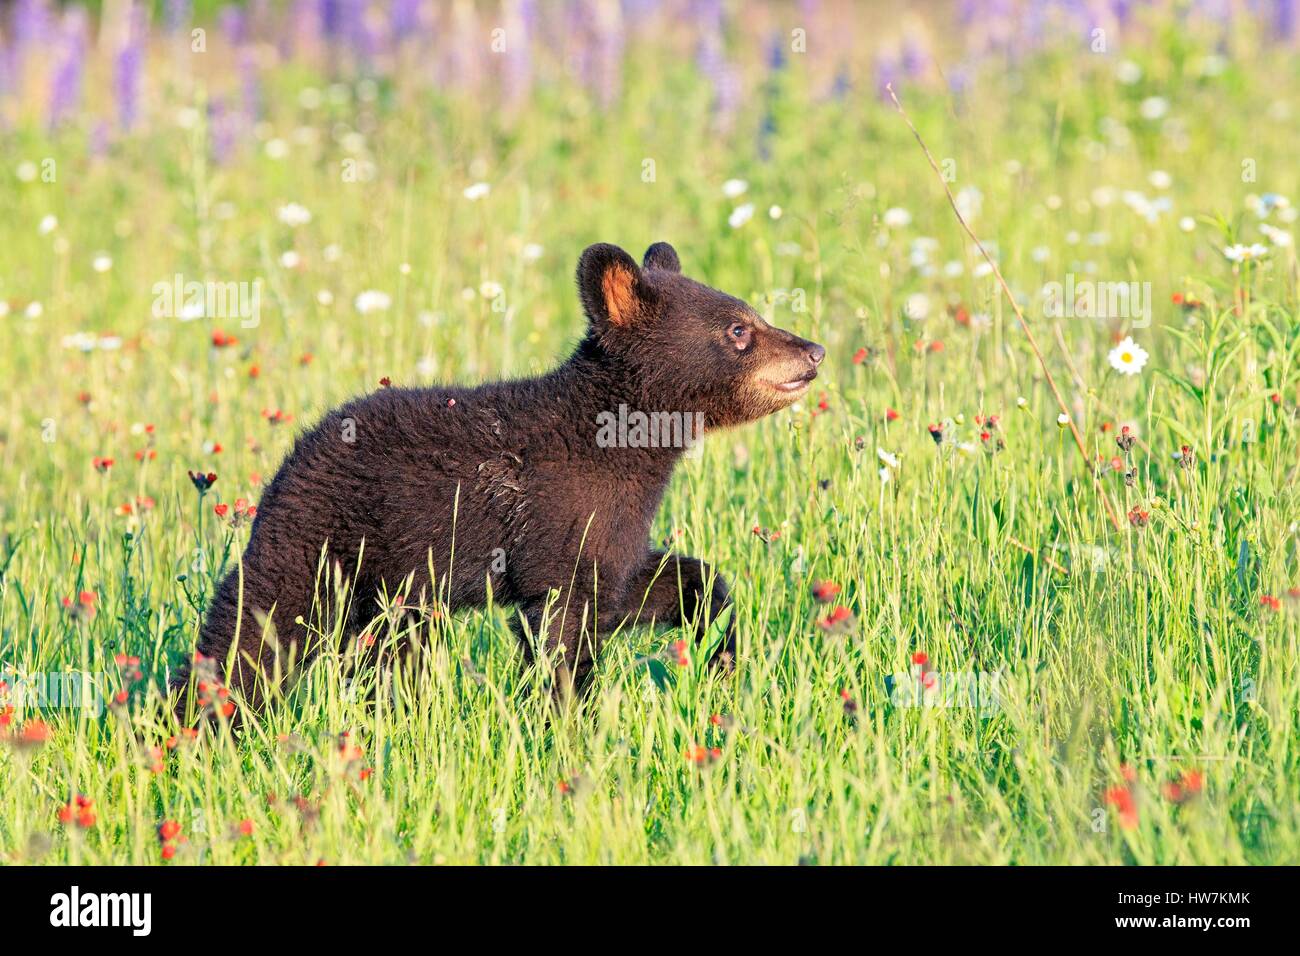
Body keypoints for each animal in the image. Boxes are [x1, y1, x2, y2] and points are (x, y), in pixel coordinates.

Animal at [172, 241, 824, 720]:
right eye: (739, 329)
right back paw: (196, 725)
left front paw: (723, 656)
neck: (611, 443)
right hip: (318, 540)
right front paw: (570, 724)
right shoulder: (558, 519)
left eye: (753, 315)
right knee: (252, 627)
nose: (814, 350)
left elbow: (653, 583)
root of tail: (291, 458)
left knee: (388, 656)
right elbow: (560, 629)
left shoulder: (608, 527)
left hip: (394, 591)